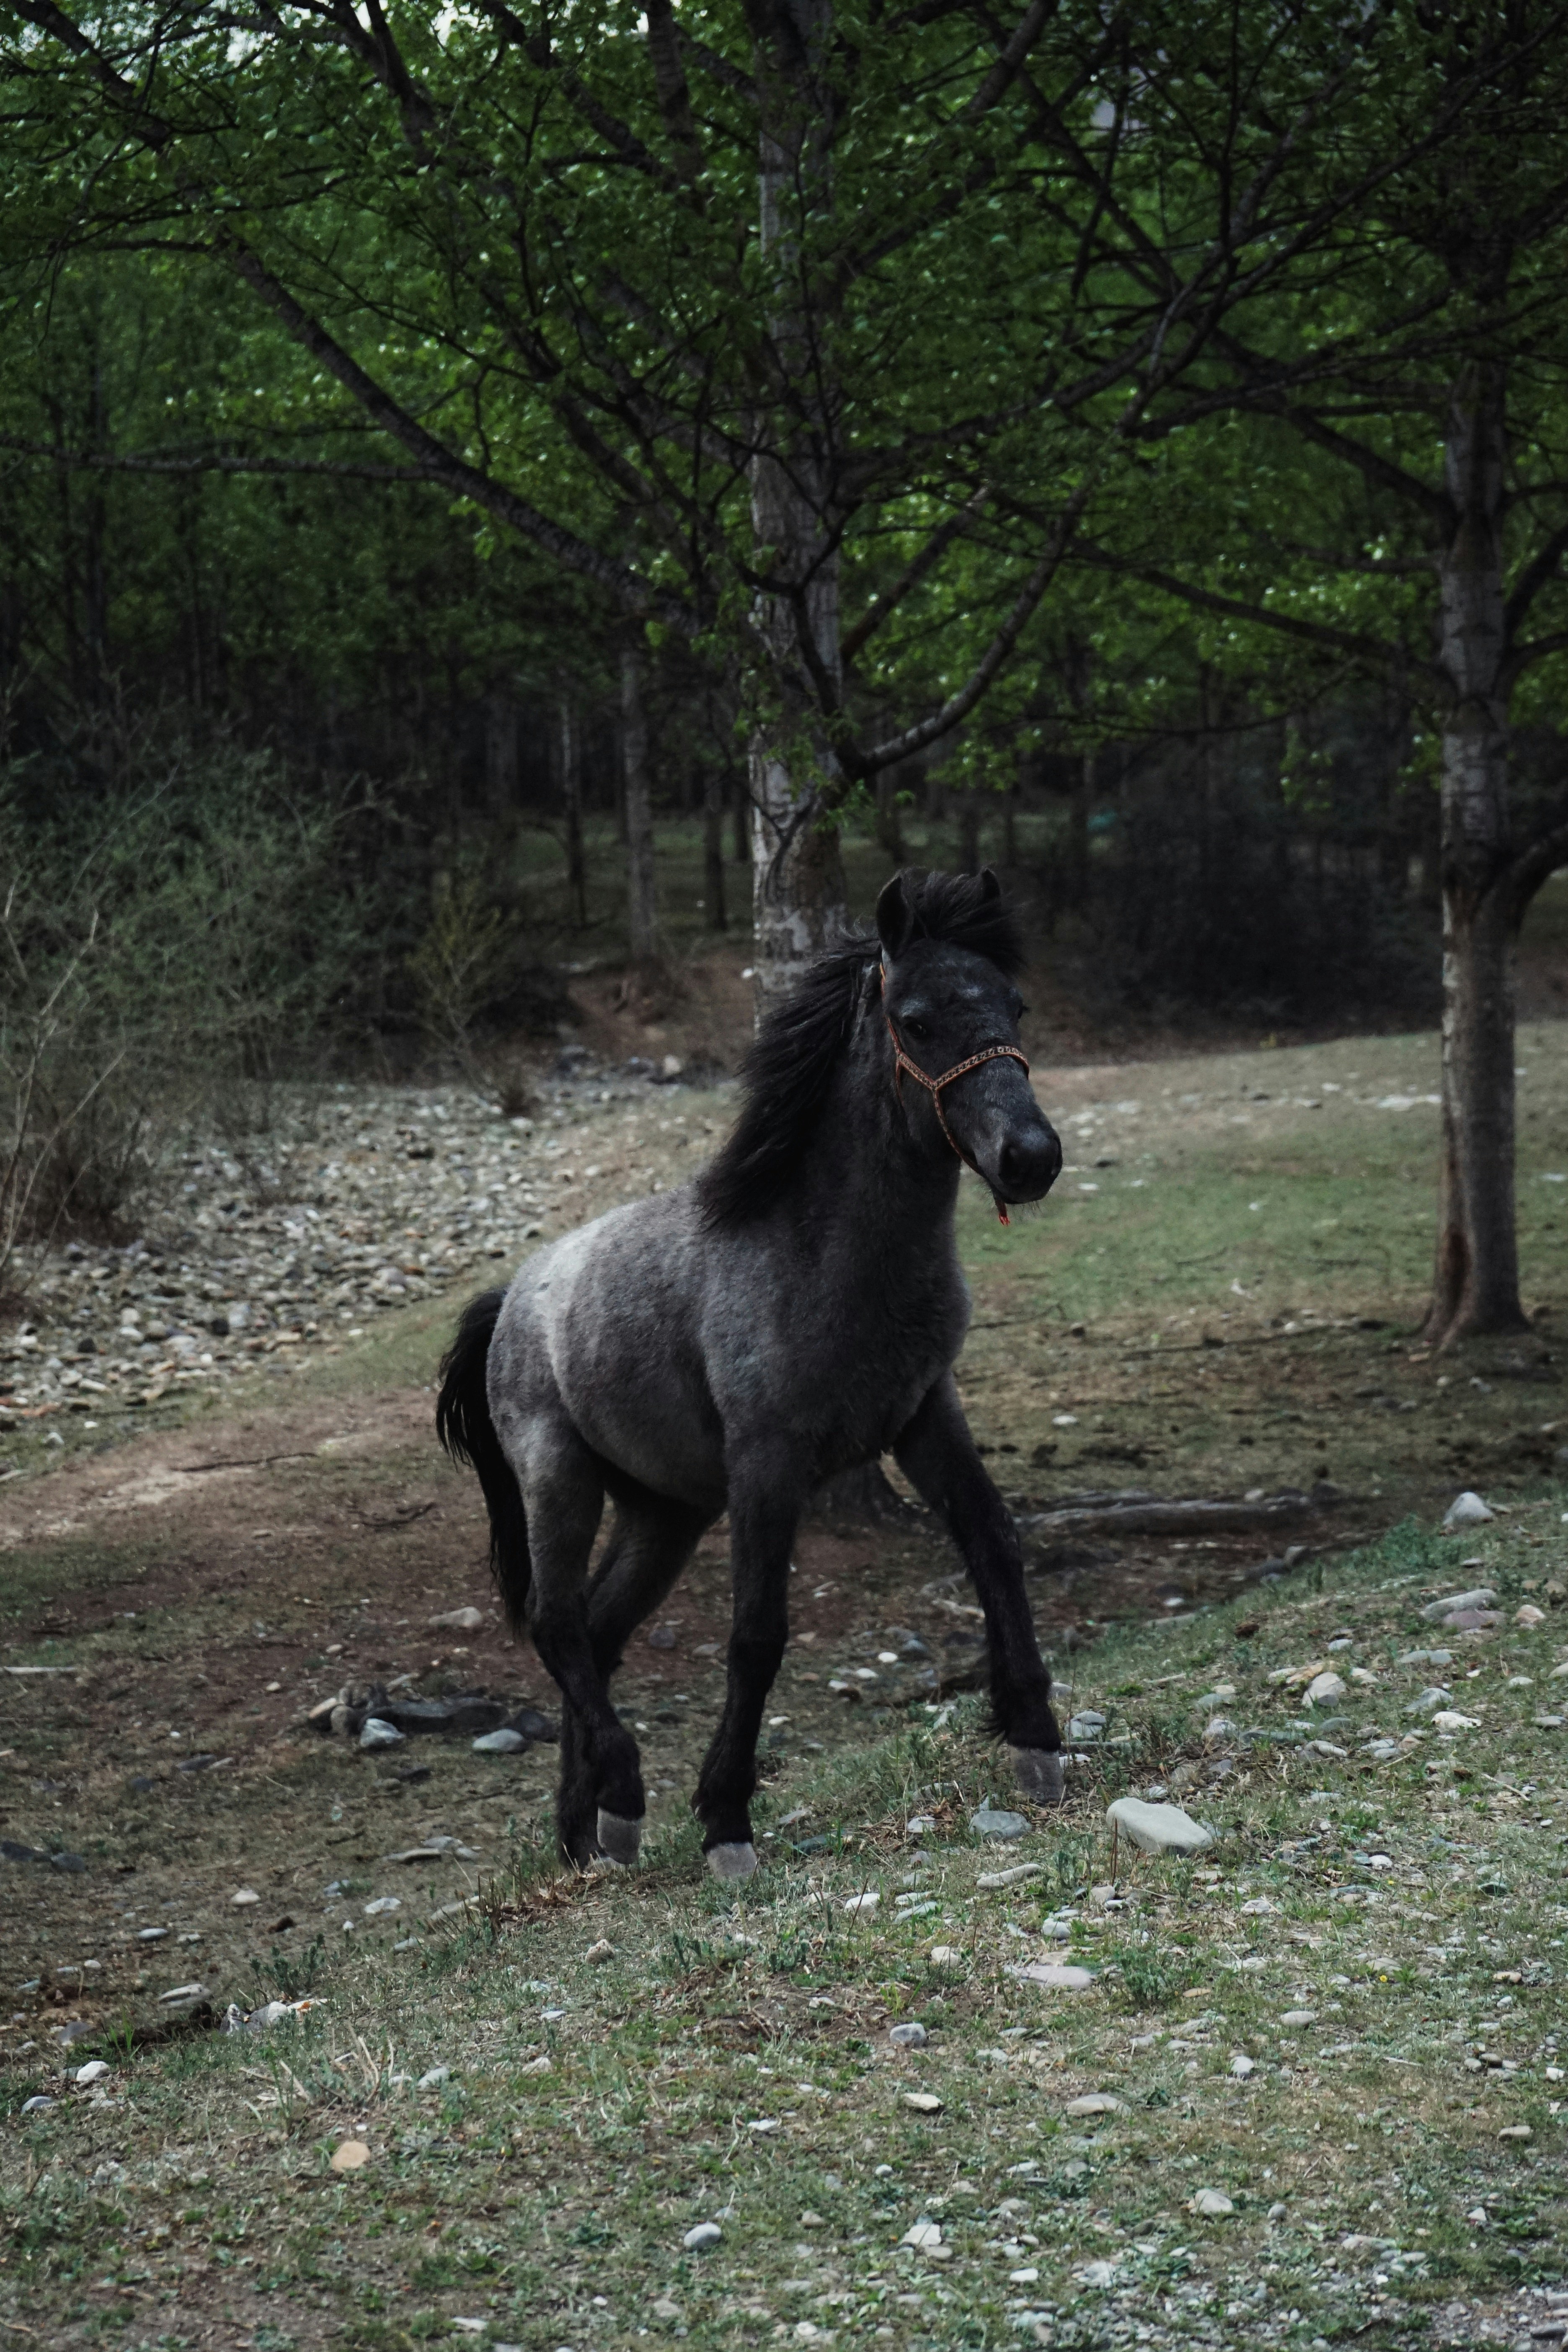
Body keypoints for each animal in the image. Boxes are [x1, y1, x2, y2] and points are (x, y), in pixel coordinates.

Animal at [436, 867, 1065, 1881]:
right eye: (917, 1019)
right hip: (559, 1479)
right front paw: (726, 1816)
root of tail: (512, 1297)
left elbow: (993, 1546)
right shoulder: (768, 1461)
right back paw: (623, 1798)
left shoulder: (924, 1416)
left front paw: (1035, 1737)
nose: (1030, 1158)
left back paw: (584, 1831)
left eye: (1014, 1006)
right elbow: (756, 1632)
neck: (817, 1253)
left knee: (598, 1635)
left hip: (665, 1514)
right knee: (556, 1623)